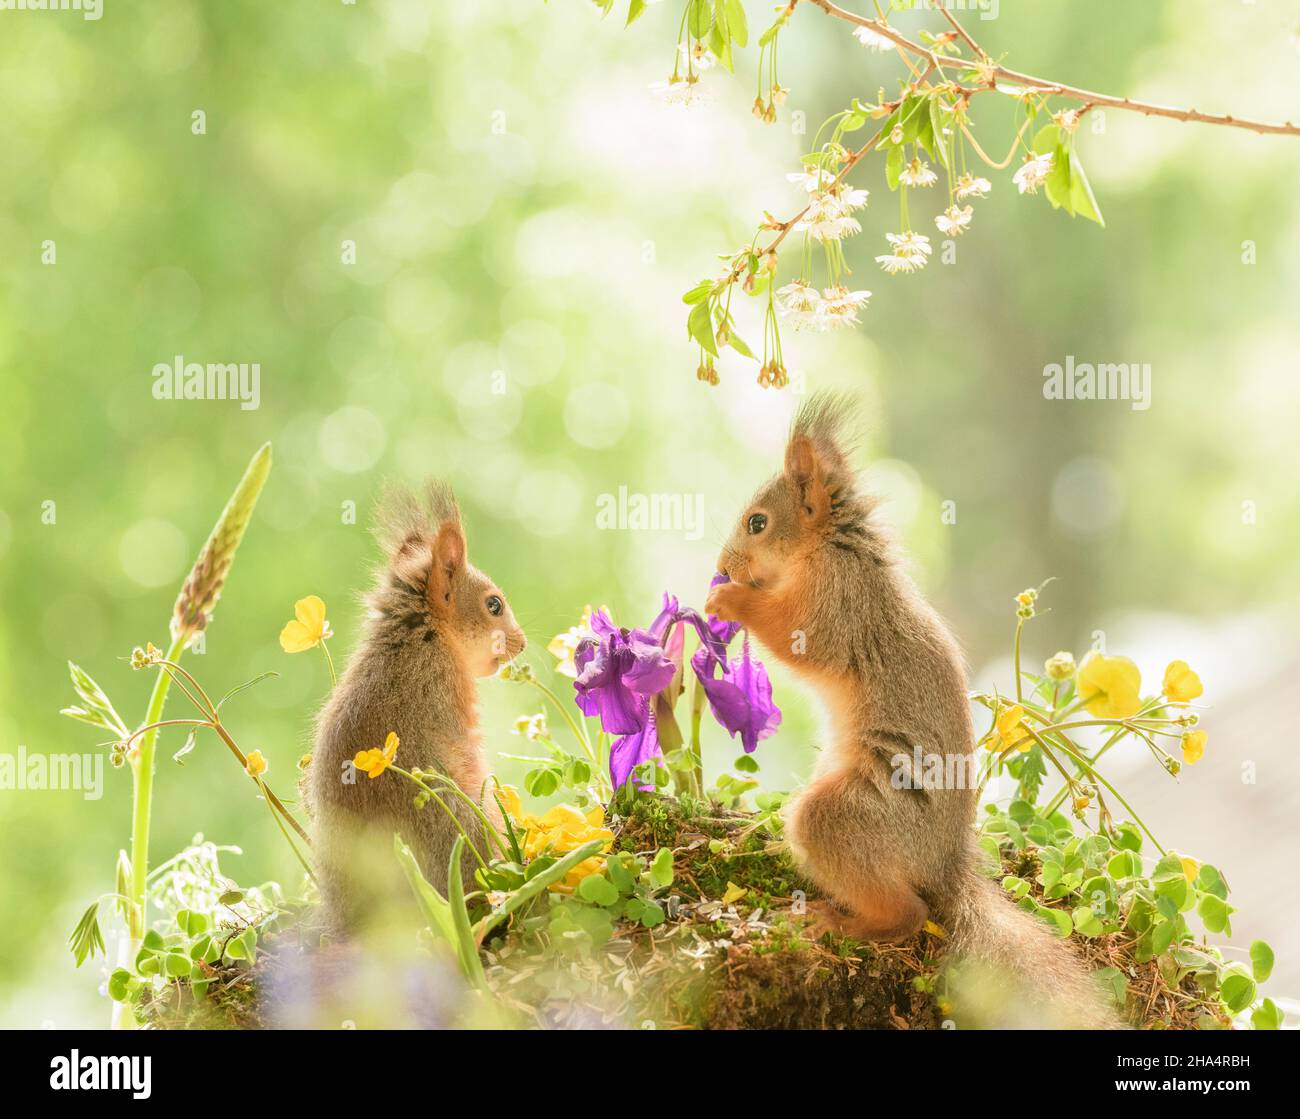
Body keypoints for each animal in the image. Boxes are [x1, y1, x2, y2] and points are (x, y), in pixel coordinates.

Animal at [704, 393, 1119, 1028]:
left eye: (757, 522)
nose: (724, 565)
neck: (829, 549)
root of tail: (943, 867)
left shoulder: (836, 604)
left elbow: (799, 639)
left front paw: (728, 599)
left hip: (847, 817)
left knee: (907, 913)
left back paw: (835, 920)